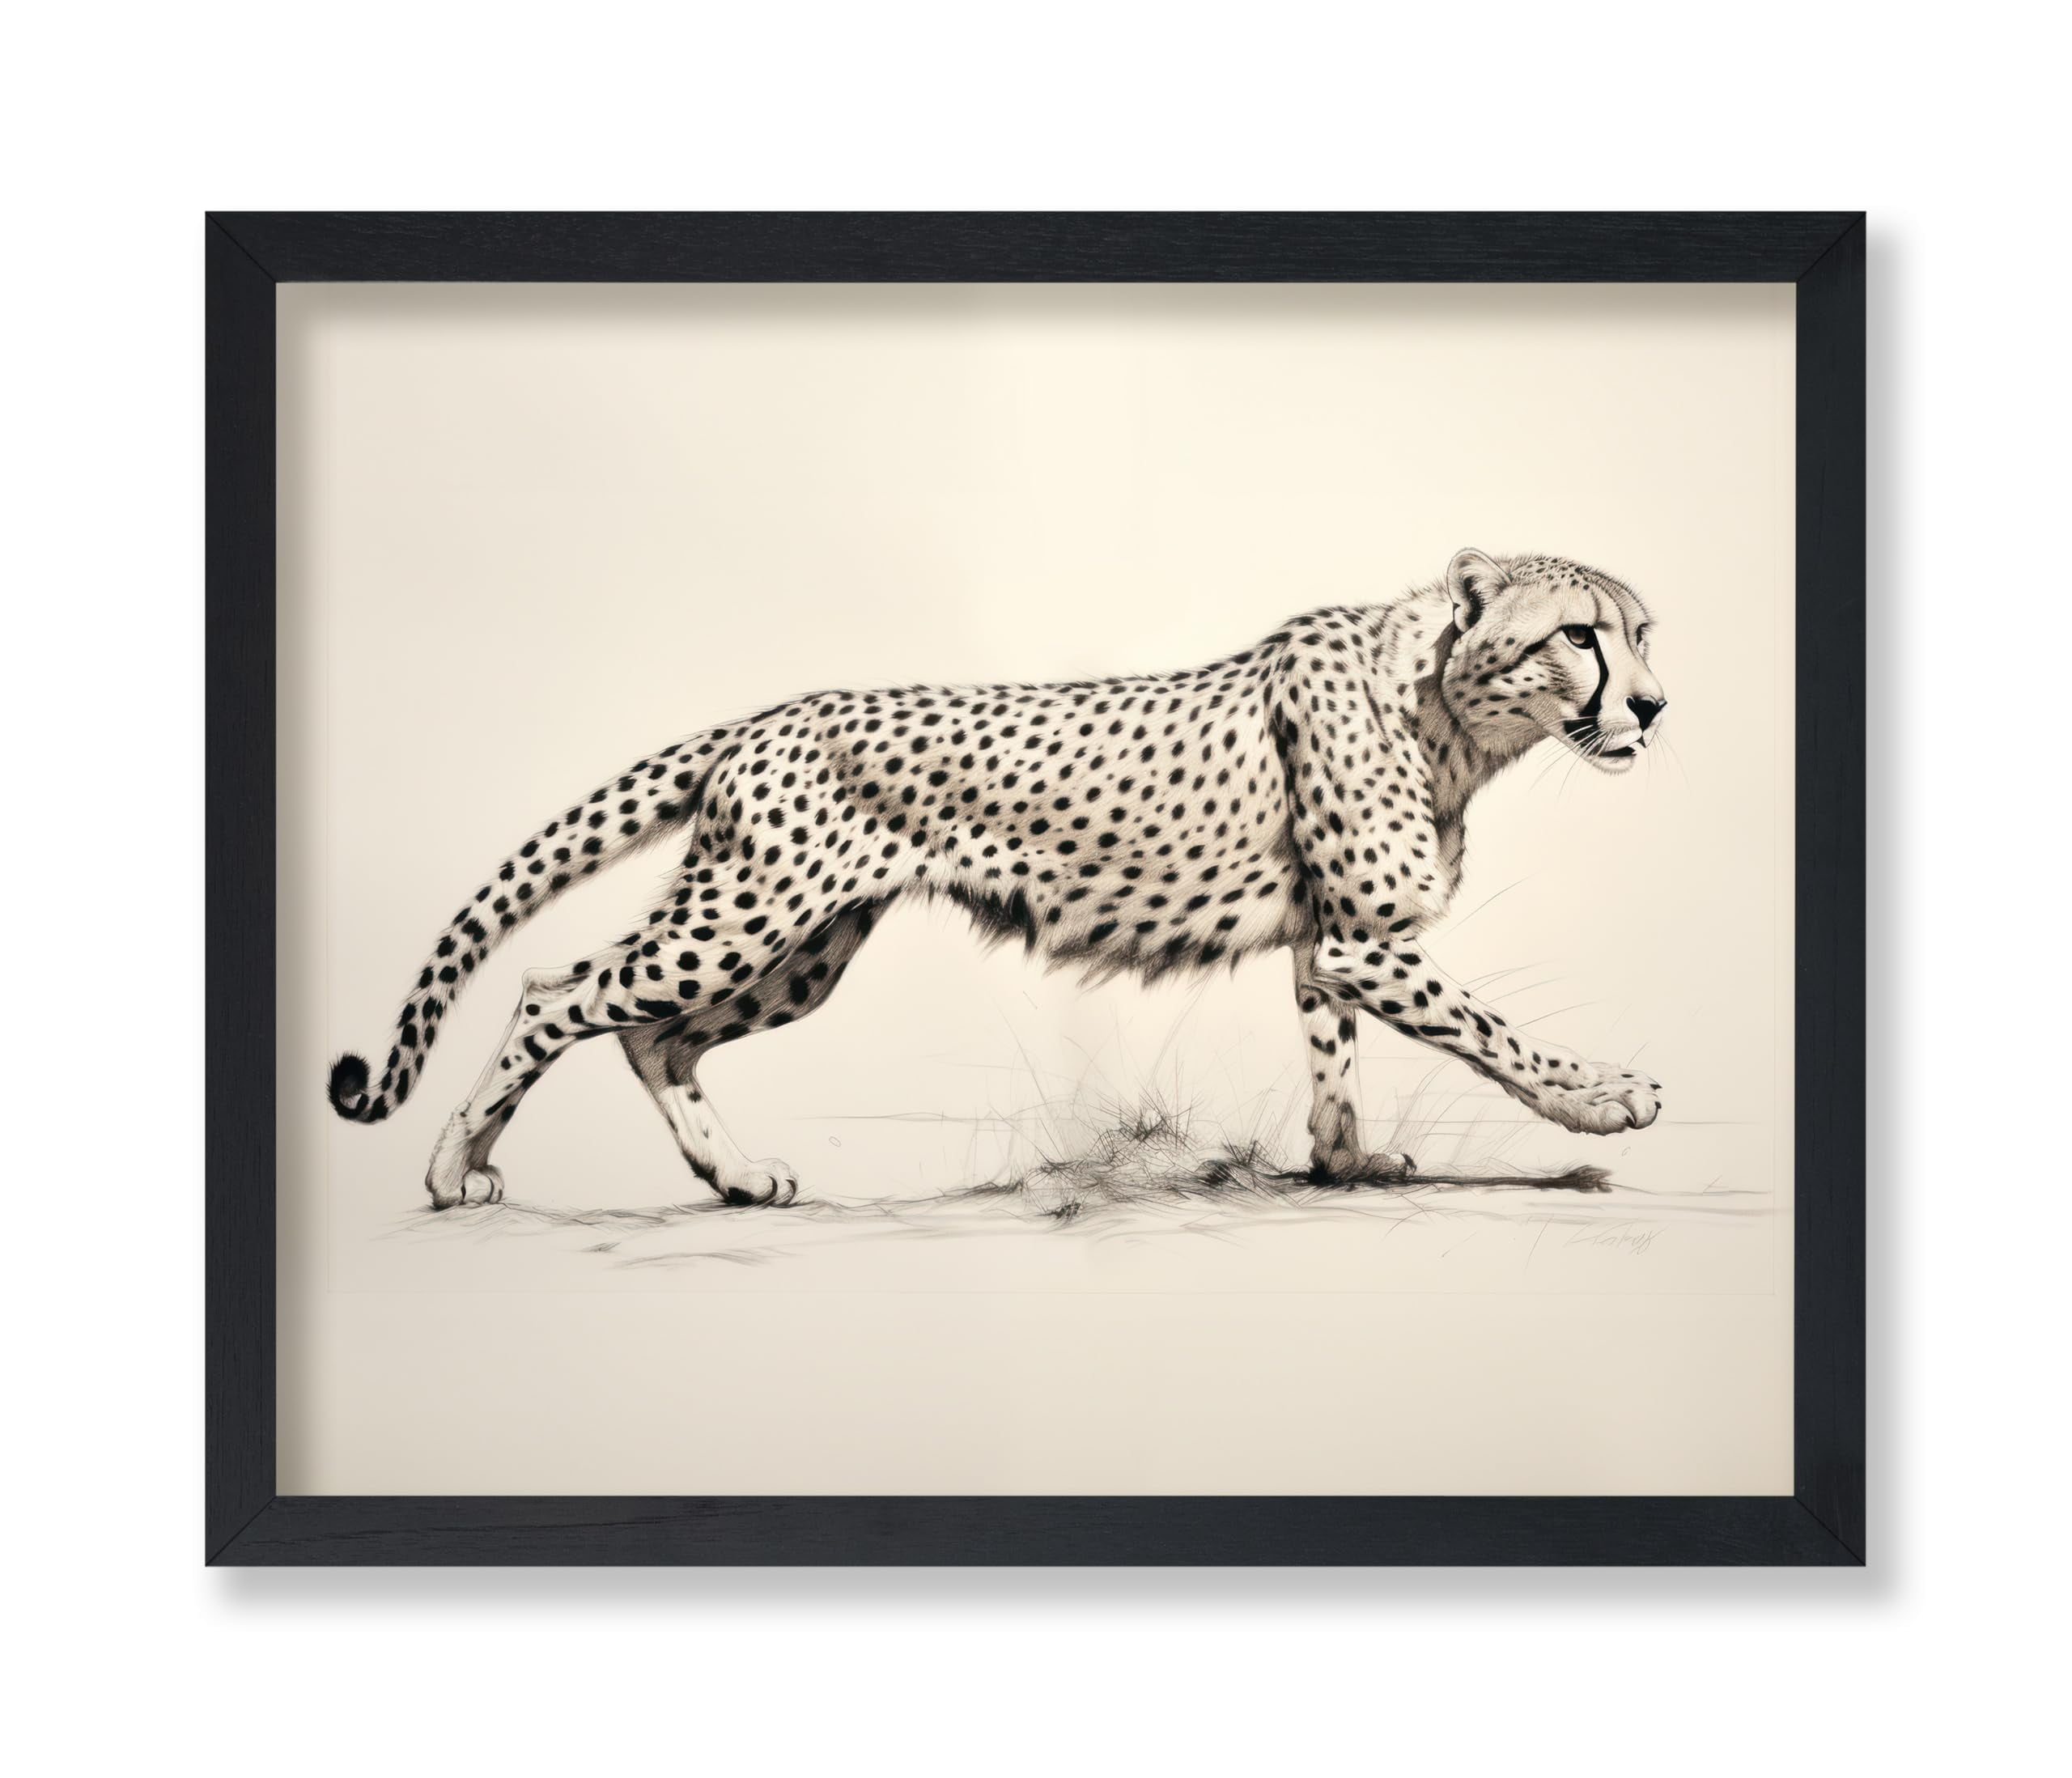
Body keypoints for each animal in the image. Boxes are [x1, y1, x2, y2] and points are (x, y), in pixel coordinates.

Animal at [328, 548, 1668, 1210]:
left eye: (1644, 631)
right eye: (1579, 635)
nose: (1654, 706)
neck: (1446, 704)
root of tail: (765, 715)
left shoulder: (1328, 942)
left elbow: (1333, 1062)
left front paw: (1346, 1164)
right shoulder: (1361, 940)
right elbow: (1494, 1032)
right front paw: (1607, 1099)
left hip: (801, 949)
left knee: (654, 1034)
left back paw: (736, 1178)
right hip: (745, 918)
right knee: (558, 988)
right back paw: (451, 1171)